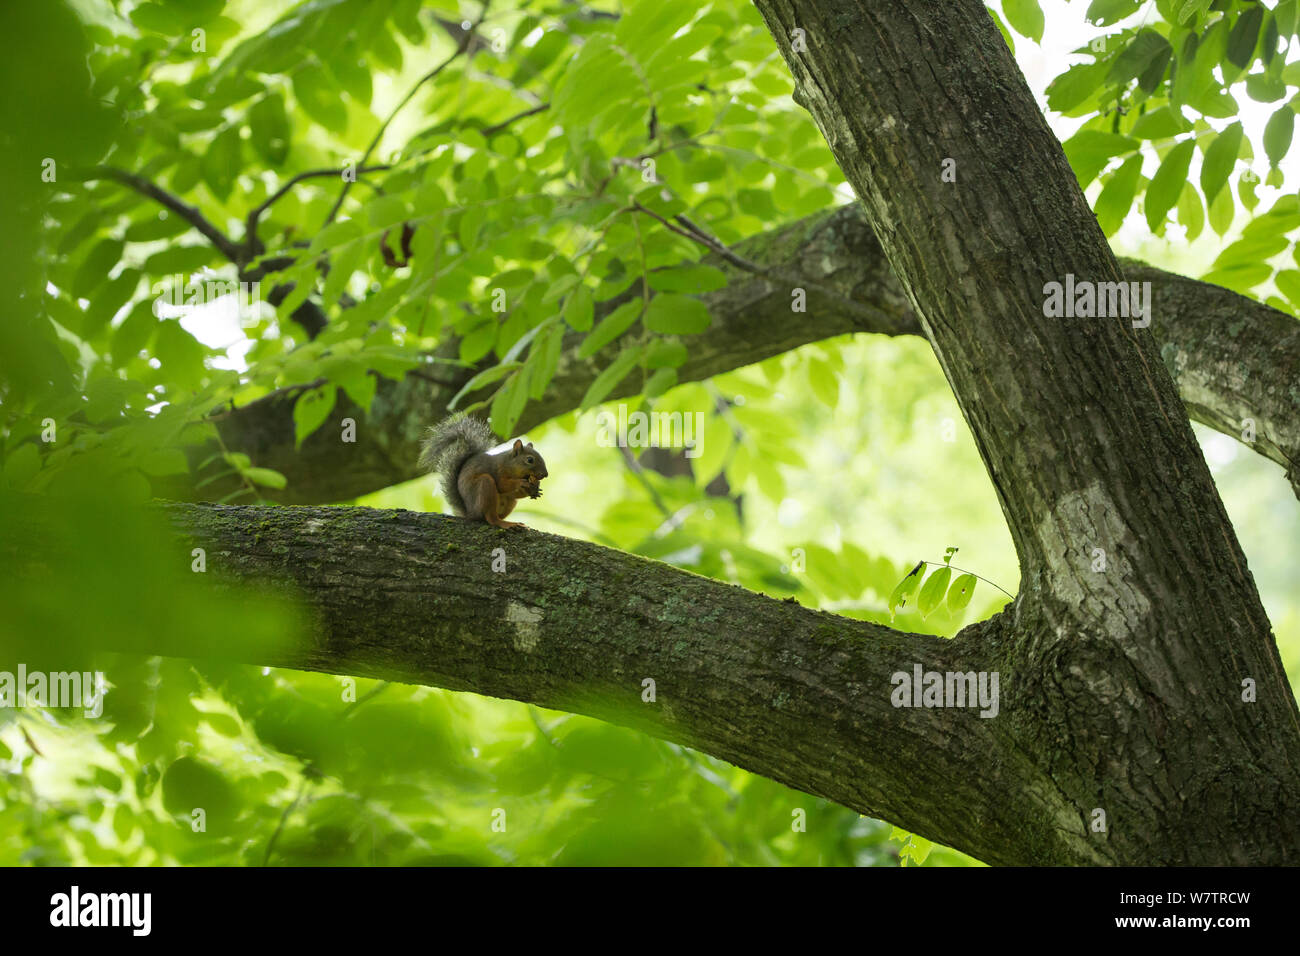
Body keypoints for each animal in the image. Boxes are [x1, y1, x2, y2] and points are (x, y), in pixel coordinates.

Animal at [419, 413, 548, 529]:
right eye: (530, 460)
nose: (545, 474)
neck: (509, 465)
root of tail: (470, 513)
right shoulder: (497, 470)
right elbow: (502, 485)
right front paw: (521, 483)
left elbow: (515, 493)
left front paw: (535, 489)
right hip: (485, 485)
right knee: (491, 518)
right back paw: (503, 523)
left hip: (510, 502)